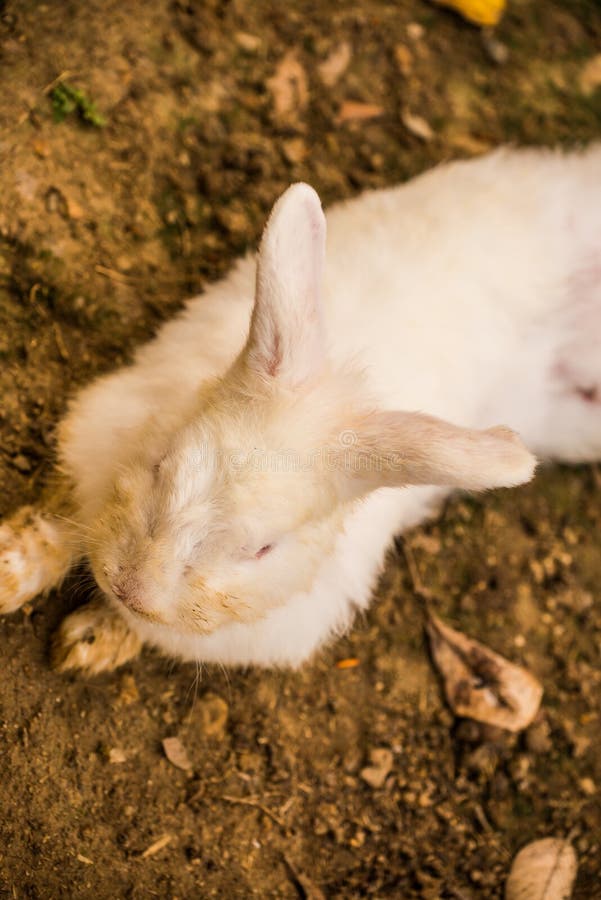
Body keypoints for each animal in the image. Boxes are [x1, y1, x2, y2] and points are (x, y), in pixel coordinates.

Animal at [2, 144, 601, 676]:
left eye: (263, 550)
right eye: (161, 464)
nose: (133, 587)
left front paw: (91, 642)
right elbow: (54, 526)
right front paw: (10, 572)